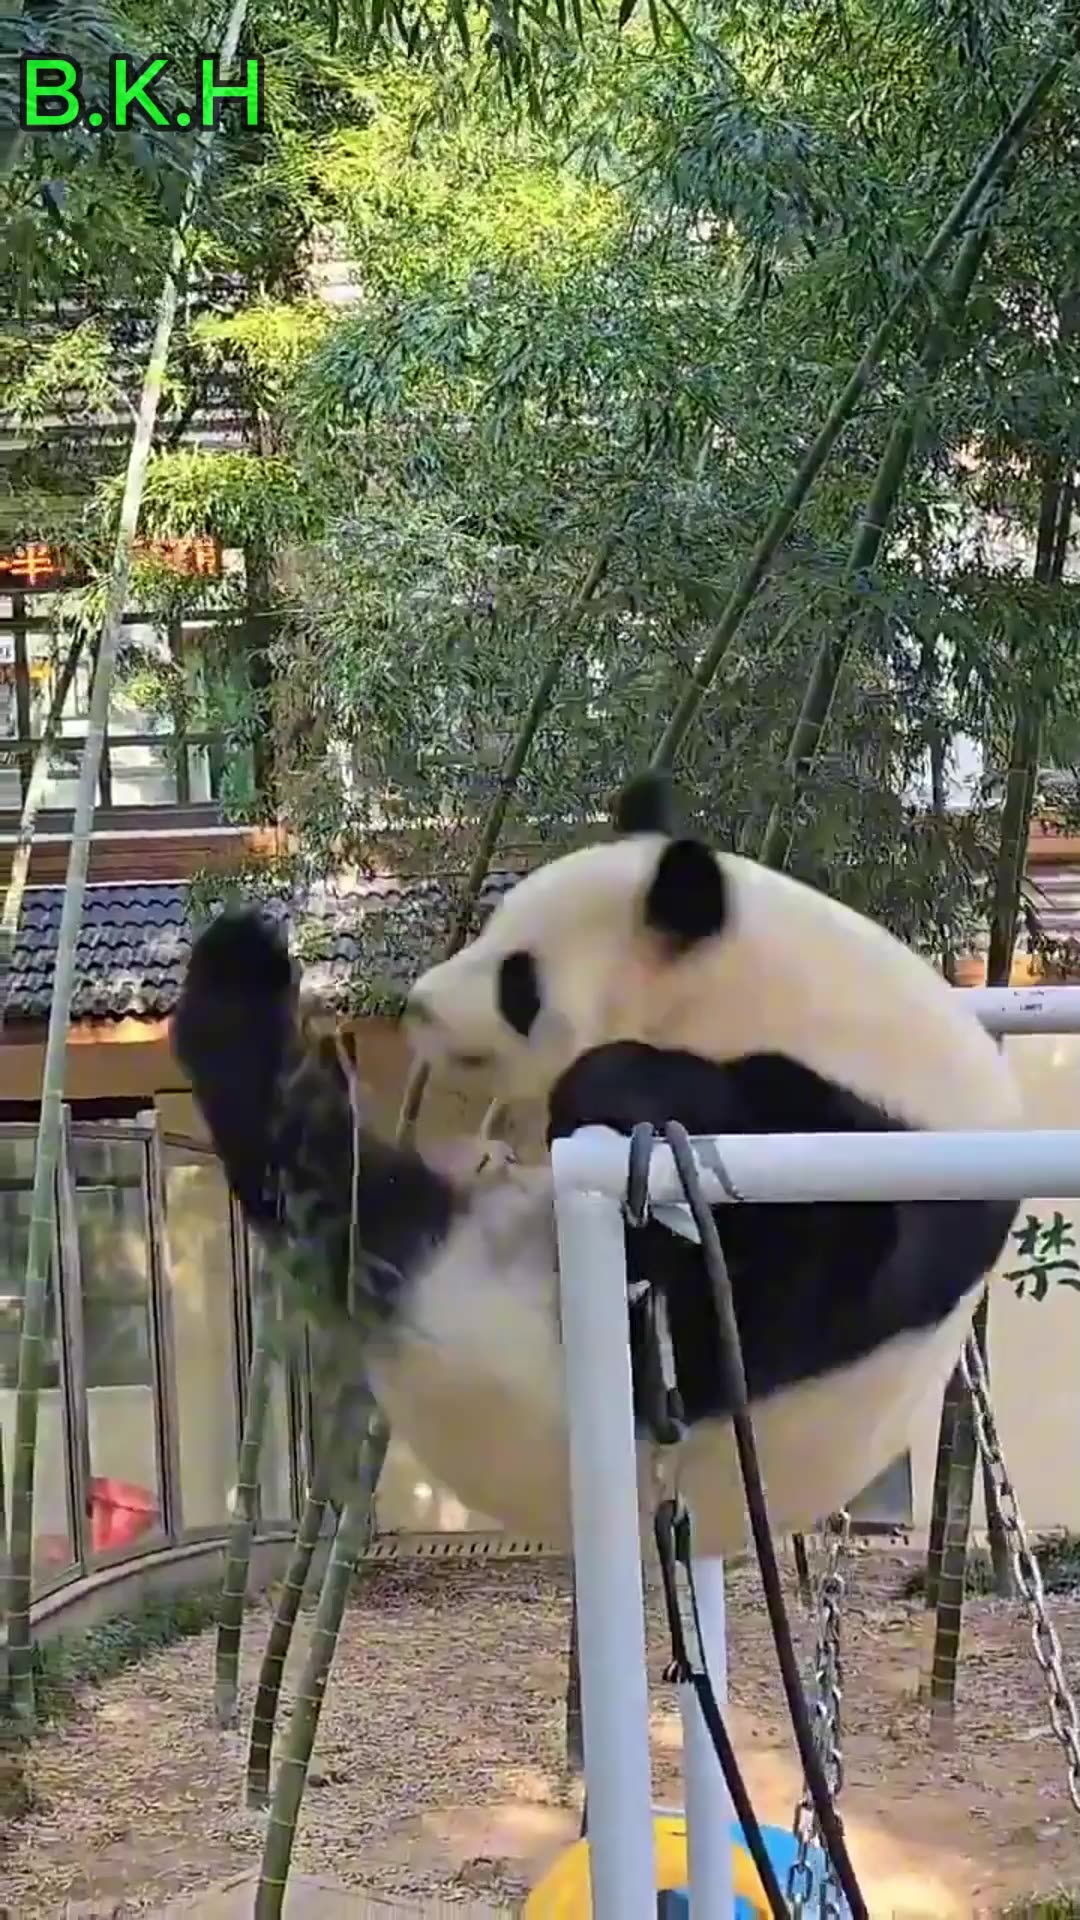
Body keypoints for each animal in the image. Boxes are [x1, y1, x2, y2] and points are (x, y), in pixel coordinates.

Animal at [173, 773, 1021, 1556]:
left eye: (518, 978)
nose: (419, 1005)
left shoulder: (884, 1158)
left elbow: (753, 1294)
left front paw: (609, 1086)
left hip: (458, 1301)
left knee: (315, 1175)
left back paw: (242, 989)